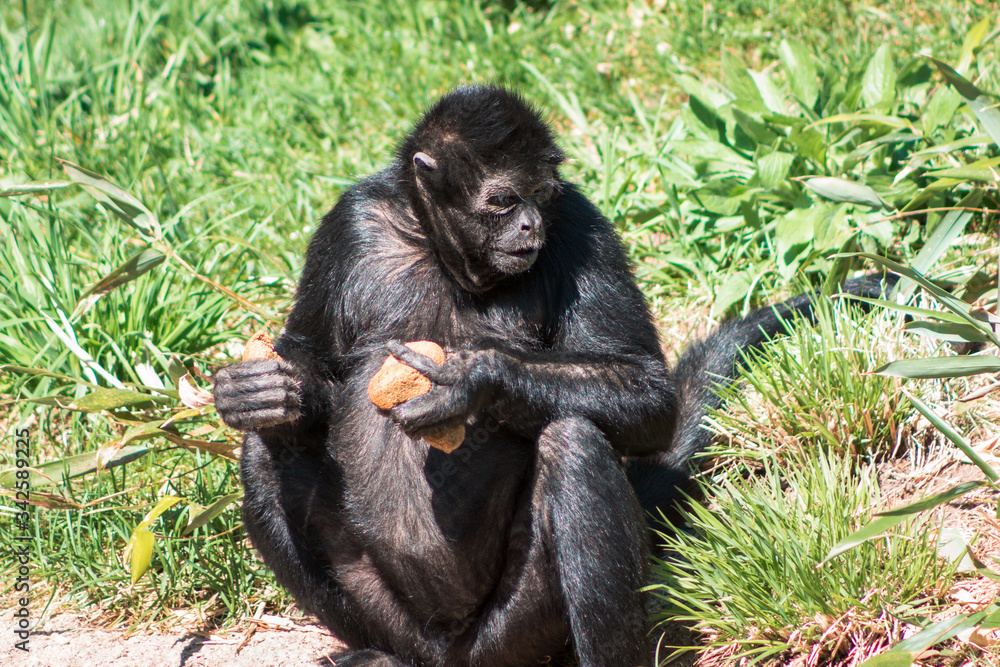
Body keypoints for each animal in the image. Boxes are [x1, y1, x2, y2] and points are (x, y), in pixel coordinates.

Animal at [213, 85, 888, 666]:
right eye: (504, 201)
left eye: (540, 196)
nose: (530, 226)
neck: (451, 262)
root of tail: (452, 652)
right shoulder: (350, 222)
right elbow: (308, 358)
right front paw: (269, 390)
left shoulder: (577, 223)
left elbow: (645, 390)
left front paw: (473, 379)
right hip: (389, 616)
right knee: (263, 450)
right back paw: (381, 654)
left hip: (516, 632)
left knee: (574, 443)